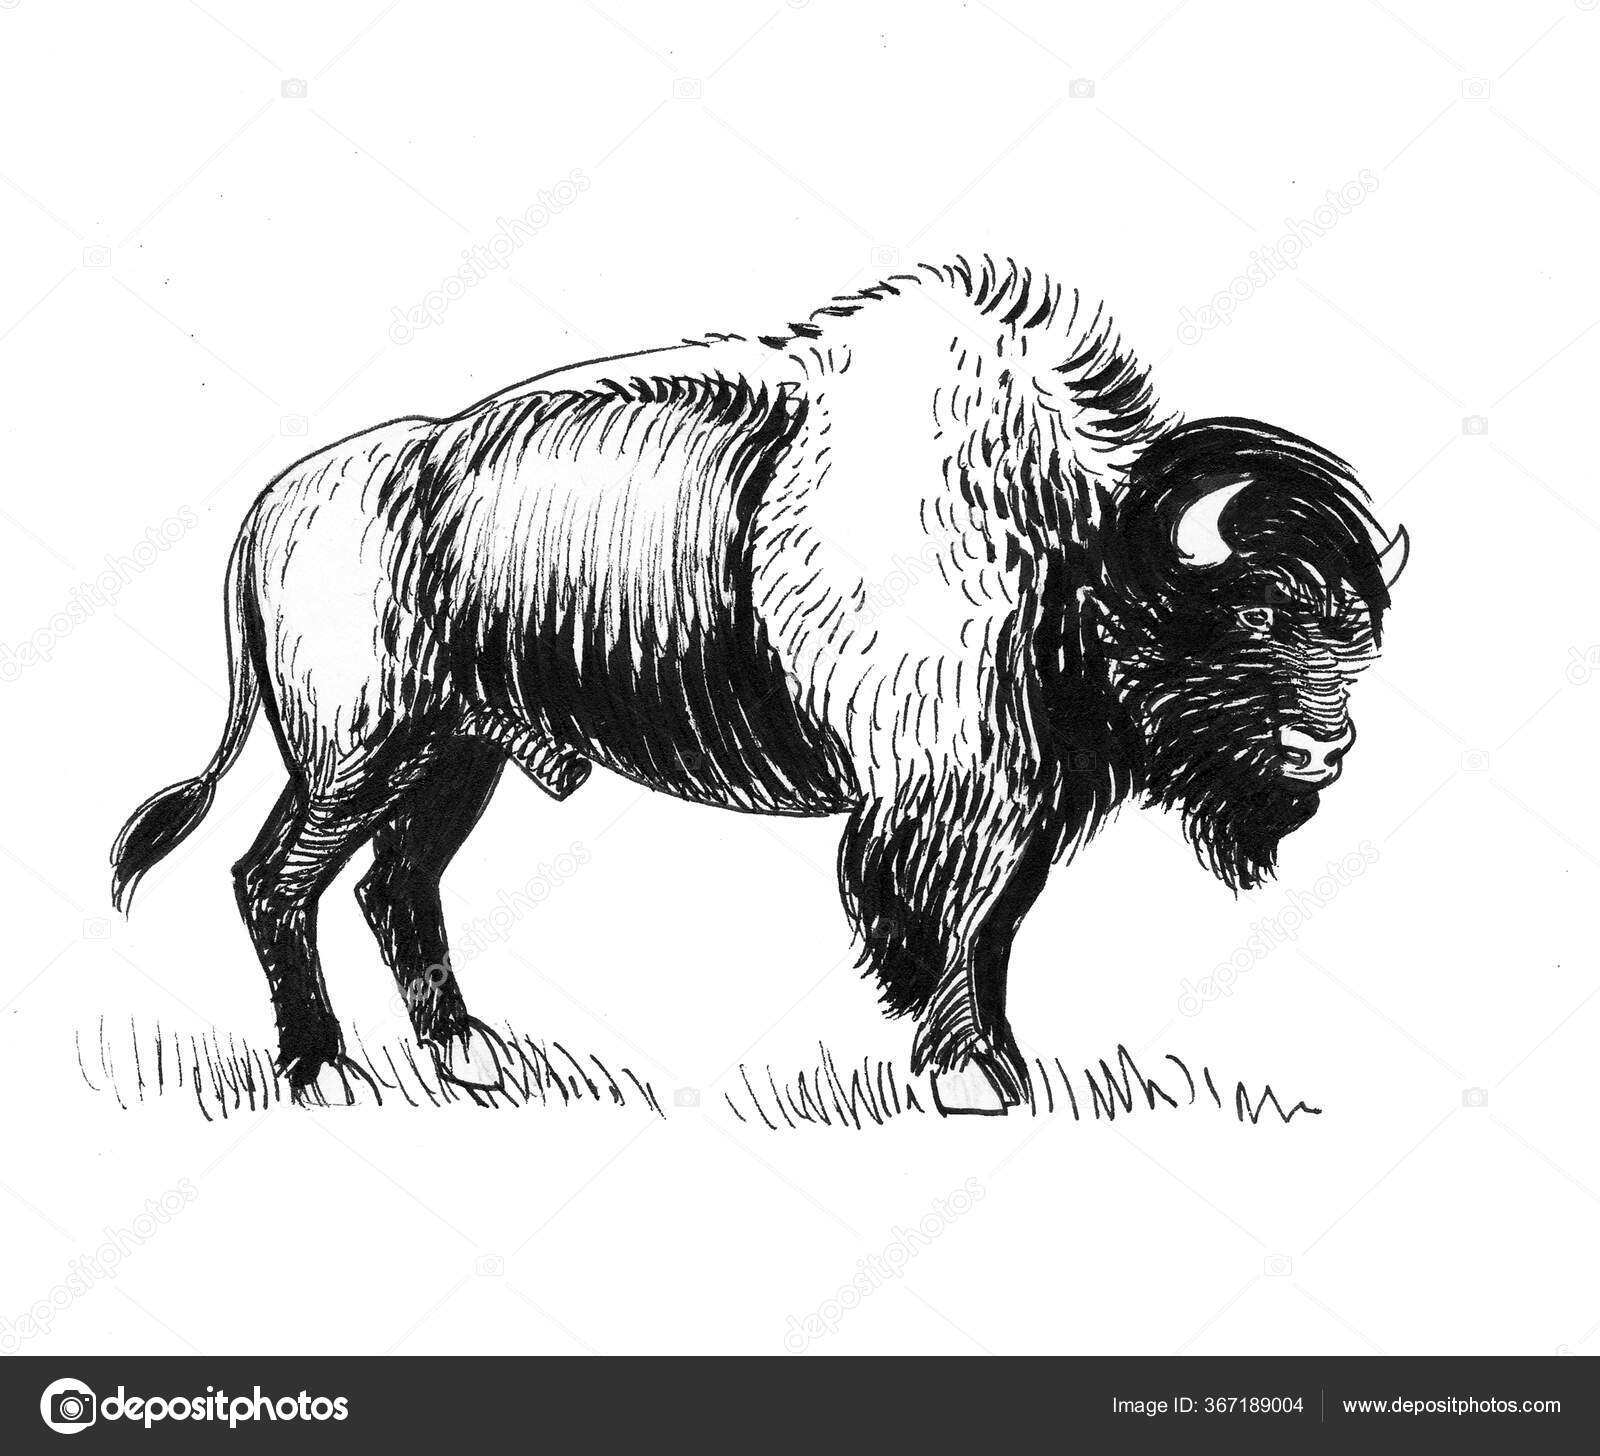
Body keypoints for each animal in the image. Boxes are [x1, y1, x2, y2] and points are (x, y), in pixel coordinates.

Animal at [111, 257, 1406, 1113]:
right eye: (1250, 613)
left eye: (1357, 629)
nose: (1325, 750)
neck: (1060, 538)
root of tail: (285, 500)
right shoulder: (946, 793)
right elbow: (949, 919)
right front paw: (967, 1072)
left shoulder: (1019, 806)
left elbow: (994, 926)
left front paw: (993, 1064)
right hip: (361, 754)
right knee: (276, 880)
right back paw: (323, 1069)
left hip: (453, 759)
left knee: (394, 886)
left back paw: (471, 1057)